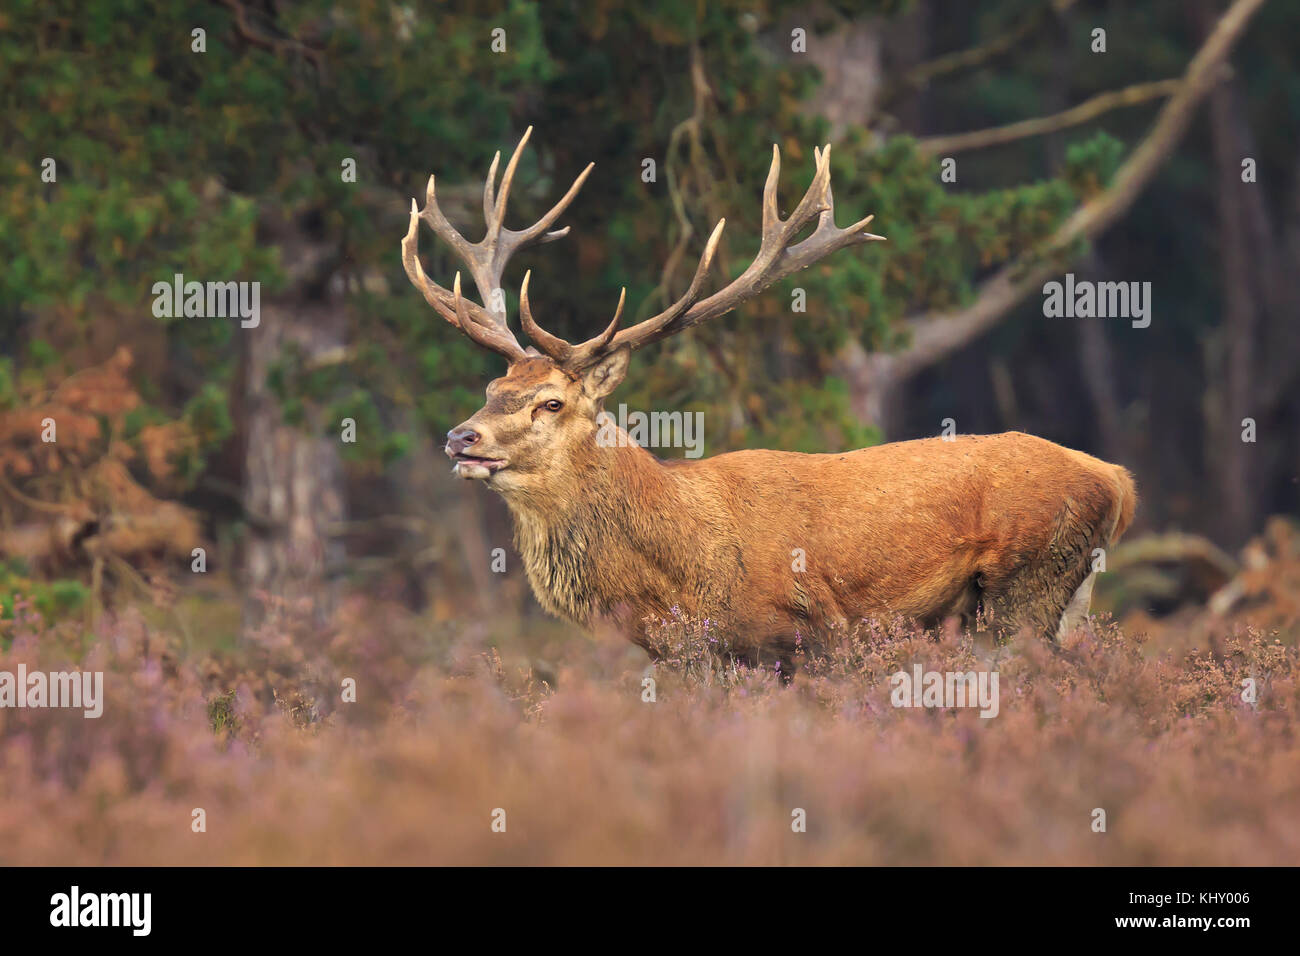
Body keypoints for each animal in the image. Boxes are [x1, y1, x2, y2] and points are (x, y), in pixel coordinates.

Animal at [401, 128, 1137, 672]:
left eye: (551, 402)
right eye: (492, 389)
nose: (461, 437)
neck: (679, 578)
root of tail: (1115, 479)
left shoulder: (819, 634)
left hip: (1028, 583)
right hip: (1063, 599)